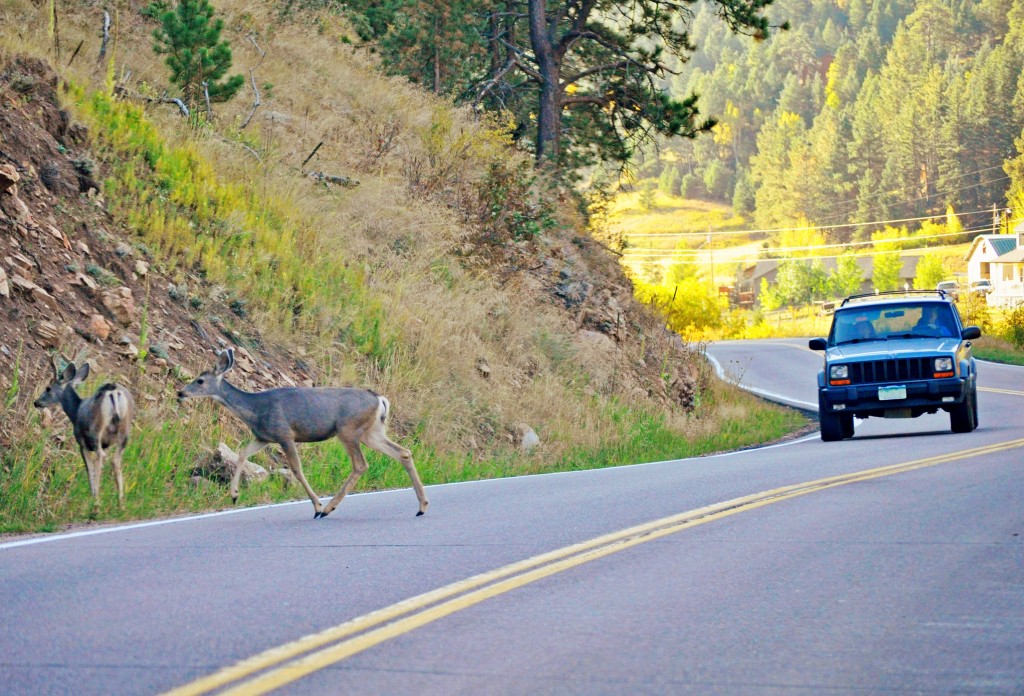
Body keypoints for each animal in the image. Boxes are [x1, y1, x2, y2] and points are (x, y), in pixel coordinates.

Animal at [33, 355, 135, 512]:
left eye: (48, 388)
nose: (36, 402)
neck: (76, 411)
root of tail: (113, 391)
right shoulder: (106, 444)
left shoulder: (82, 443)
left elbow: (89, 469)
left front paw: (94, 496)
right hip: (124, 432)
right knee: (115, 461)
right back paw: (121, 505)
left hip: (97, 431)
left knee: (101, 457)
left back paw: (97, 506)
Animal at [177, 348, 428, 520]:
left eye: (200, 380)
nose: (180, 393)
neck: (255, 409)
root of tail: (380, 399)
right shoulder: (264, 436)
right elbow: (242, 454)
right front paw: (234, 494)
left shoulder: (284, 434)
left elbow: (296, 469)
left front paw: (316, 506)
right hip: (371, 431)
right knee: (403, 452)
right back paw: (422, 506)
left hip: (347, 429)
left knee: (360, 464)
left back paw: (328, 509)